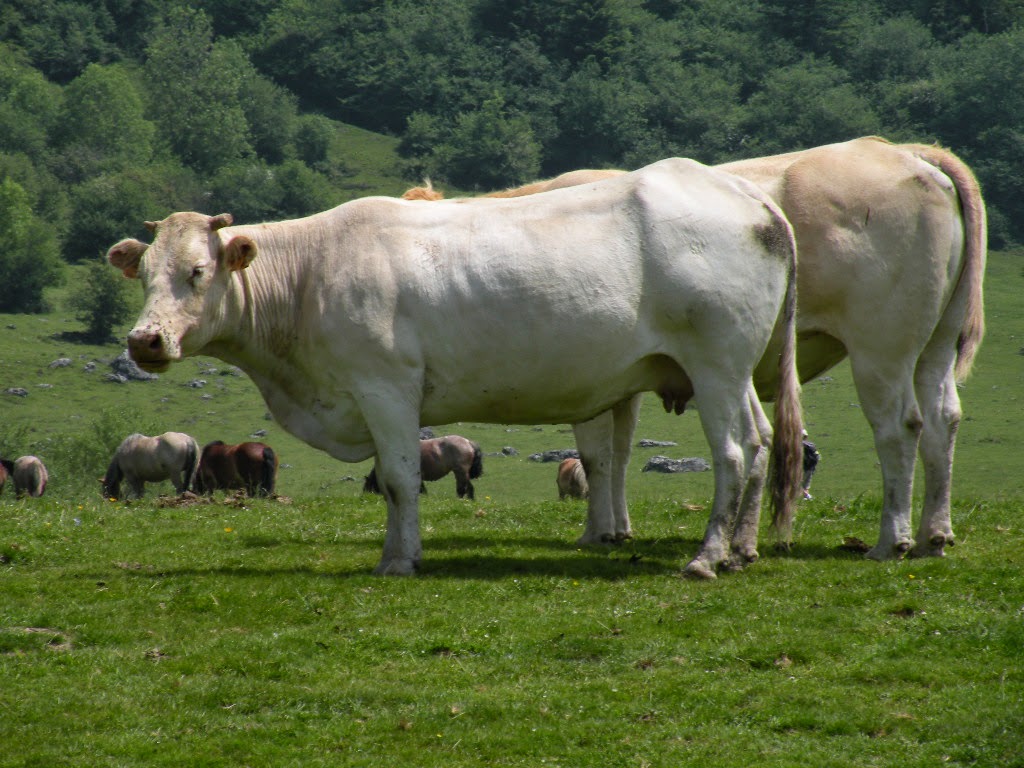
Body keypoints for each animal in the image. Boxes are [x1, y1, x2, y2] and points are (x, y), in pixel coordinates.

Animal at [107, 157, 804, 577]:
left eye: (198, 271)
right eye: (143, 273)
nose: (145, 341)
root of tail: (745, 195)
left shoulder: (386, 387)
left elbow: (398, 479)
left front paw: (400, 561)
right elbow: (393, 484)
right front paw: (397, 552)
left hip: (716, 363)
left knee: (733, 452)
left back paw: (707, 557)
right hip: (736, 371)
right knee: (761, 442)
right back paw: (740, 551)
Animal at [460, 137, 985, 562]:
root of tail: (910, 152)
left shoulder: (591, 375)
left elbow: (596, 455)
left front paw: (597, 533)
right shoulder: (622, 383)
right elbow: (619, 454)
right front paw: (617, 529)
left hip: (881, 348)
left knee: (899, 427)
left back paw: (891, 540)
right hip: (937, 342)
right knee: (943, 418)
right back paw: (934, 535)